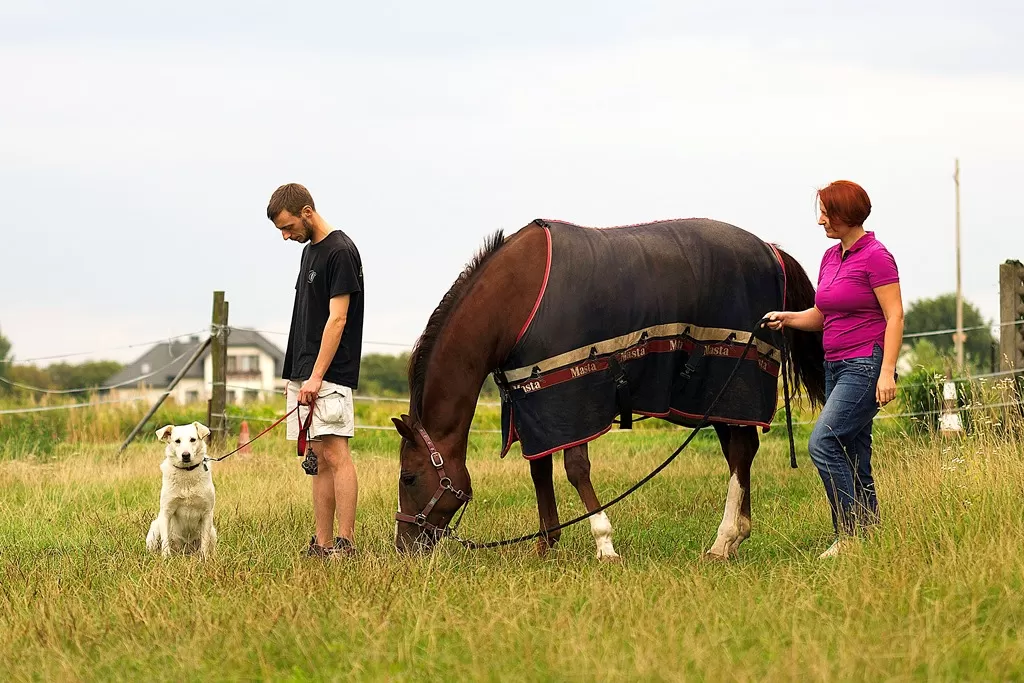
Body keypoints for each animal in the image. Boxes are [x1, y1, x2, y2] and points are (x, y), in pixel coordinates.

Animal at [145, 421, 217, 561]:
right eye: (177, 441)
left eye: (193, 439)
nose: (185, 455)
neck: (187, 472)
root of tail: (185, 551)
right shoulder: (166, 511)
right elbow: (165, 540)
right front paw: (166, 558)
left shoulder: (207, 513)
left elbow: (204, 542)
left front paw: (203, 559)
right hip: (155, 528)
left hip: (213, 531)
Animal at [391, 220, 823, 561]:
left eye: (408, 478)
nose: (404, 546)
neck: (515, 300)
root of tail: (772, 251)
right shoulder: (533, 400)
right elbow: (539, 467)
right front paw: (546, 544)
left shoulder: (570, 395)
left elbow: (575, 468)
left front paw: (605, 545)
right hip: (715, 400)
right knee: (740, 451)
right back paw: (735, 538)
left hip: (732, 383)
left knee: (740, 452)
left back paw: (723, 539)